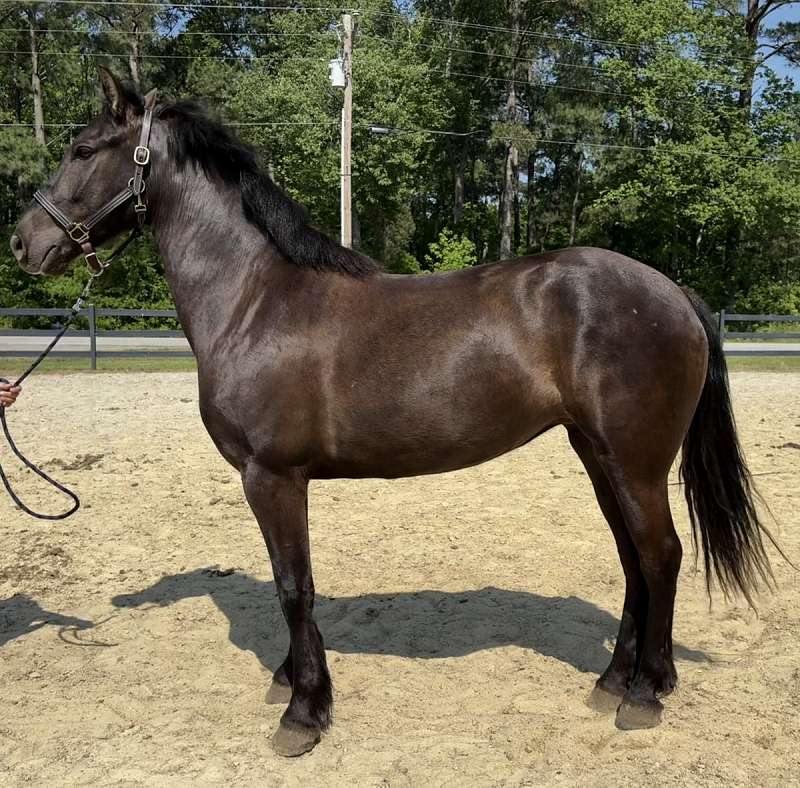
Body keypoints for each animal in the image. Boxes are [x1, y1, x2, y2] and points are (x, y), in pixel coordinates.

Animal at [10, 69, 778, 757]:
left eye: (83, 149)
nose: (24, 243)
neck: (255, 300)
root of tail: (673, 292)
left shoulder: (272, 476)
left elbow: (294, 586)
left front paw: (303, 712)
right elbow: (297, 586)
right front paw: (294, 680)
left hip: (635, 461)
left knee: (662, 555)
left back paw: (645, 694)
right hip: (599, 456)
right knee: (634, 561)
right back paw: (615, 681)